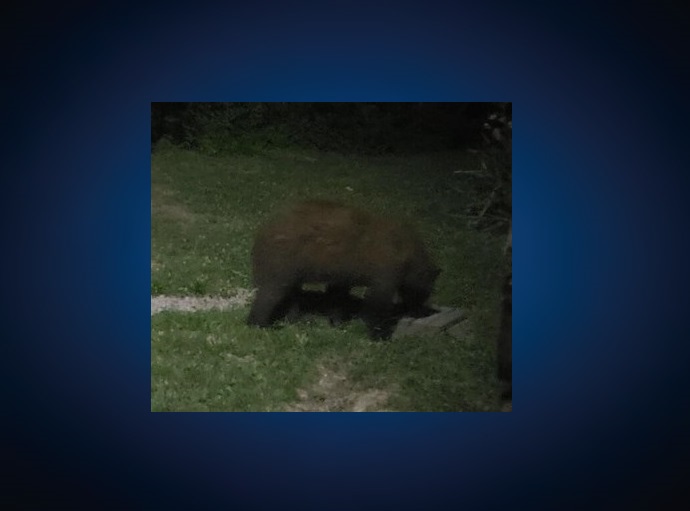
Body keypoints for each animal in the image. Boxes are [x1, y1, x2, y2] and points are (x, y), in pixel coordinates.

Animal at [247, 200, 440, 340]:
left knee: (292, 296)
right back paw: (259, 323)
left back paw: (298, 319)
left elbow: (337, 294)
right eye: (425, 293)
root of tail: (261, 235)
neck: (409, 253)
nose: (418, 312)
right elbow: (377, 301)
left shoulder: (342, 272)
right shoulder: (386, 268)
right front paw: (380, 334)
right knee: (270, 295)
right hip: (282, 263)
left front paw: (337, 321)